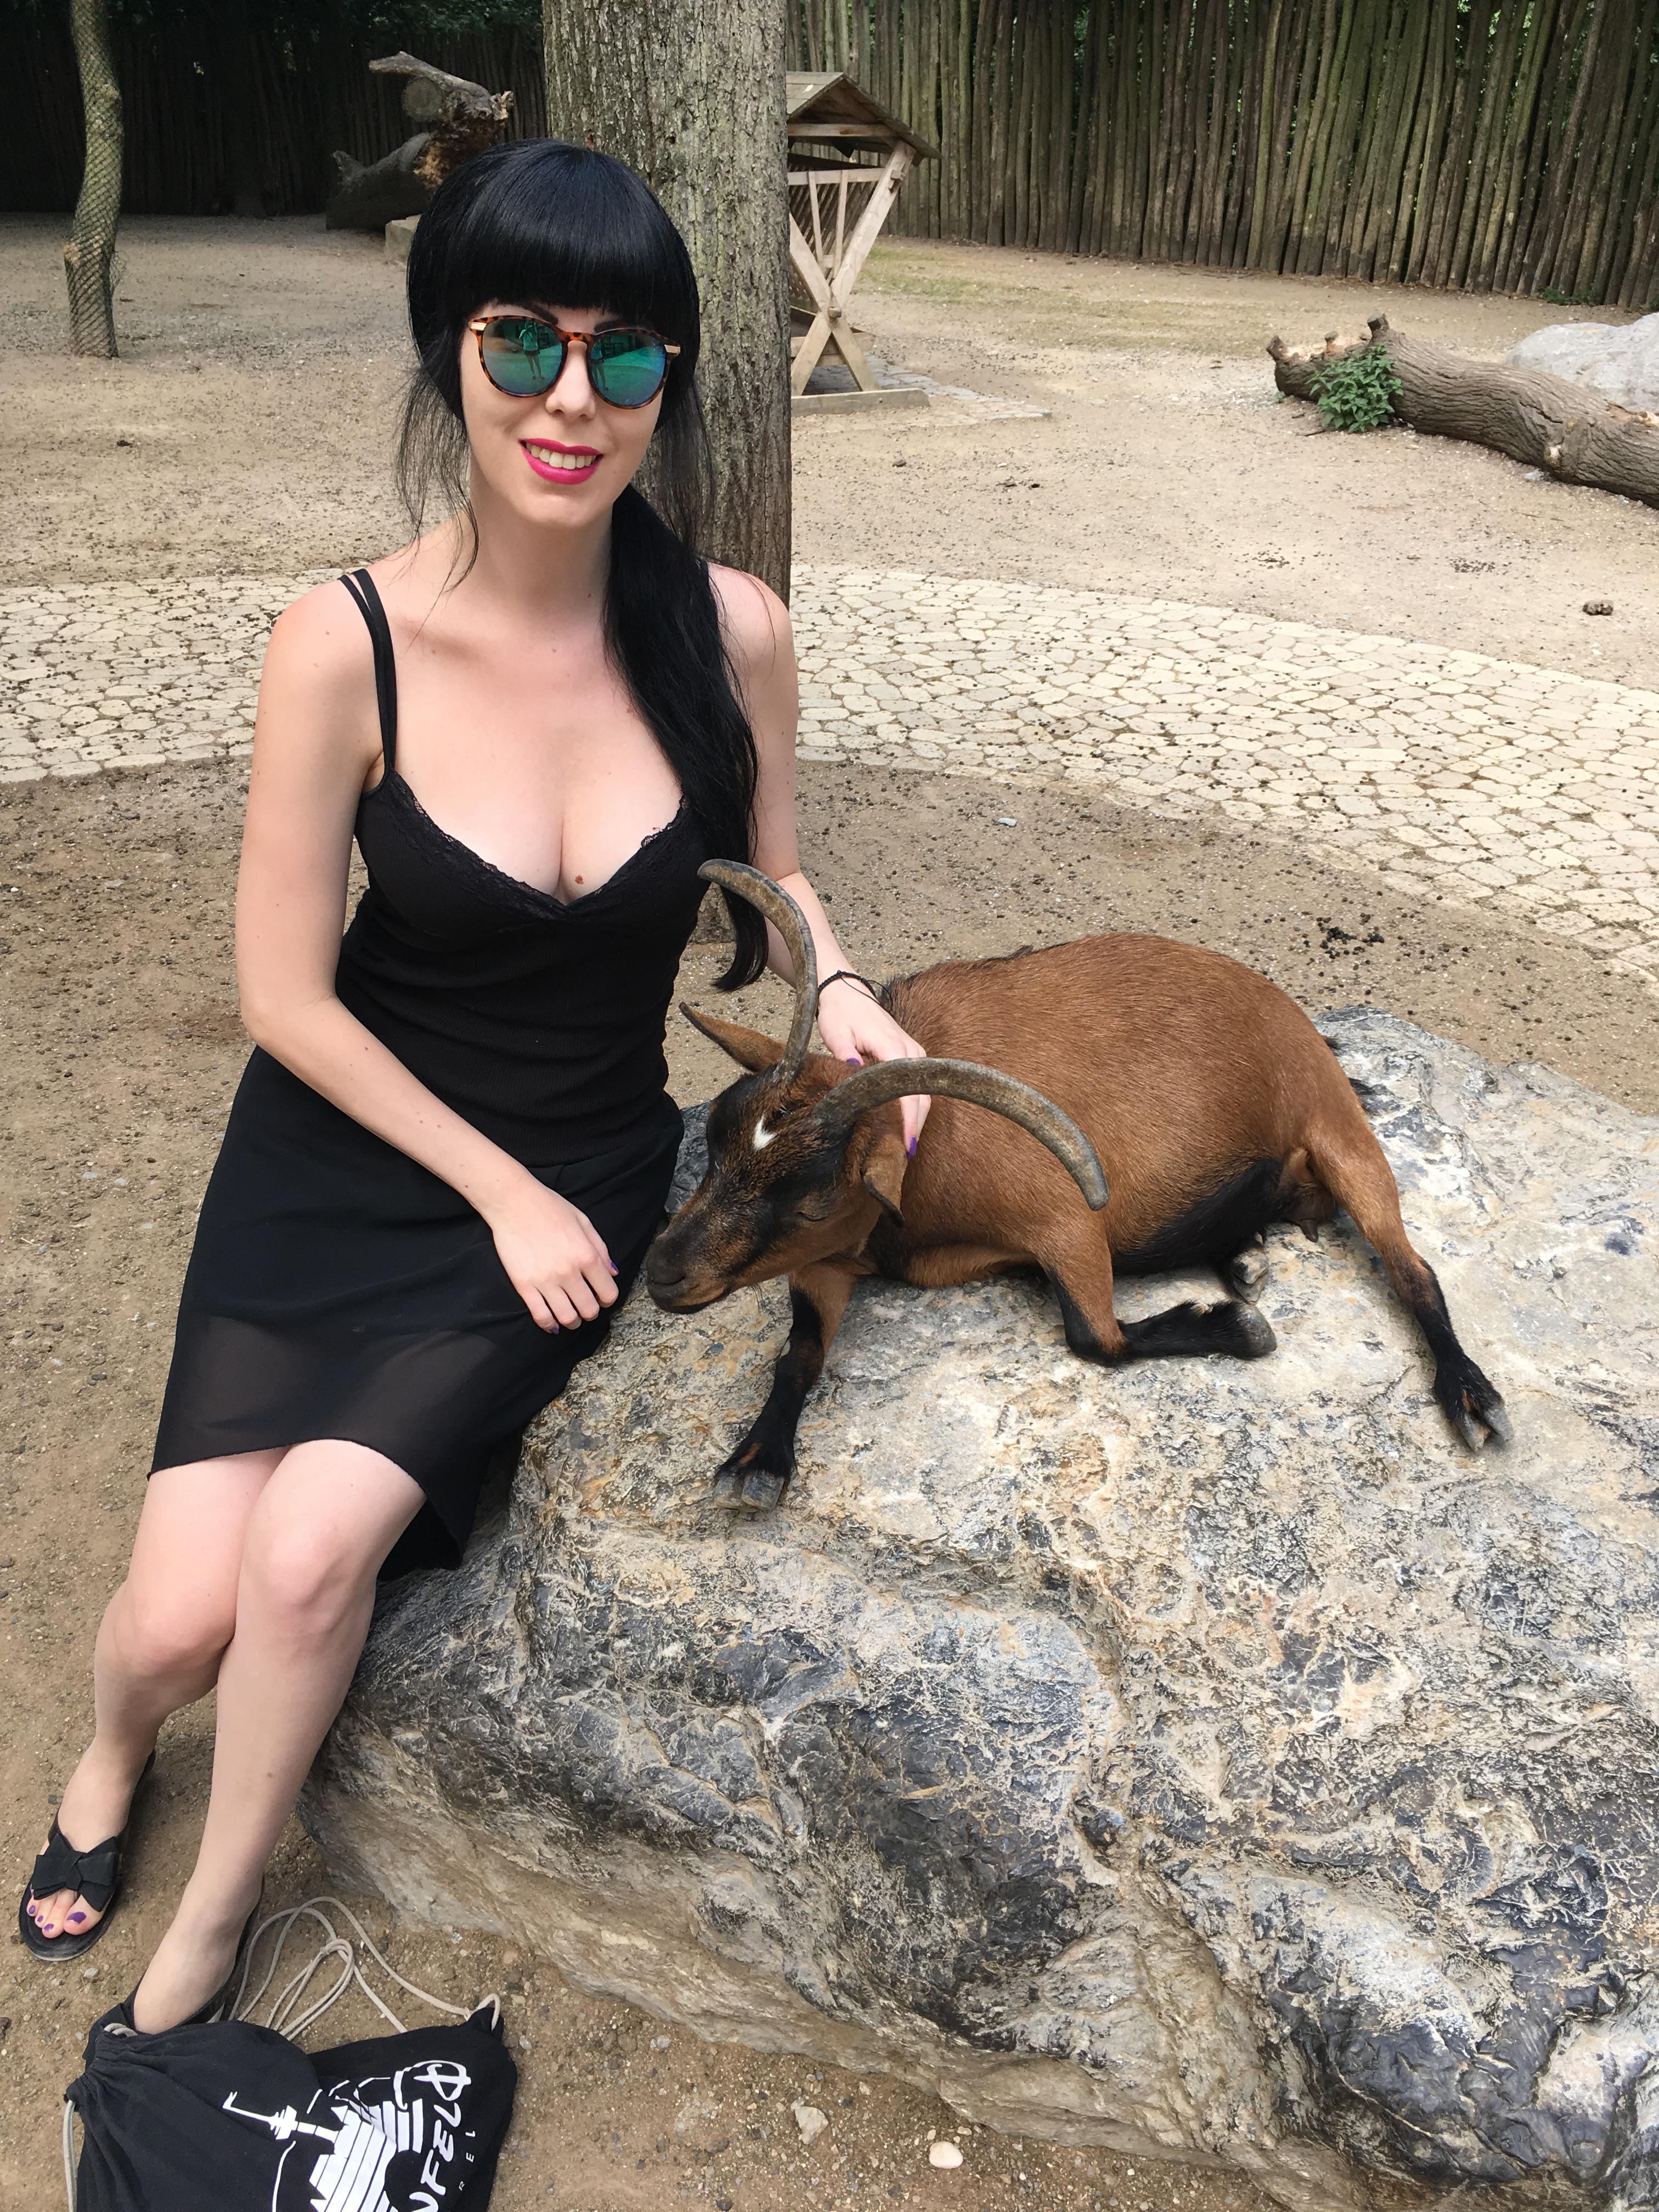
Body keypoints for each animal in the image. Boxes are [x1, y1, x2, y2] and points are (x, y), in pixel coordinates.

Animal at [647, 861, 1510, 1510]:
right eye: (714, 1143)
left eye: (806, 1197)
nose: (660, 1272)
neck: (928, 1171)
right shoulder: (832, 1259)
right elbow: (798, 1351)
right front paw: (756, 1460)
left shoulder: (1064, 1218)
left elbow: (1099, 1338)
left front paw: (1237, 1329)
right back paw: (1241, 1252)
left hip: (1338, 1128)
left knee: (1412, 1267)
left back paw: (1471, 1396)